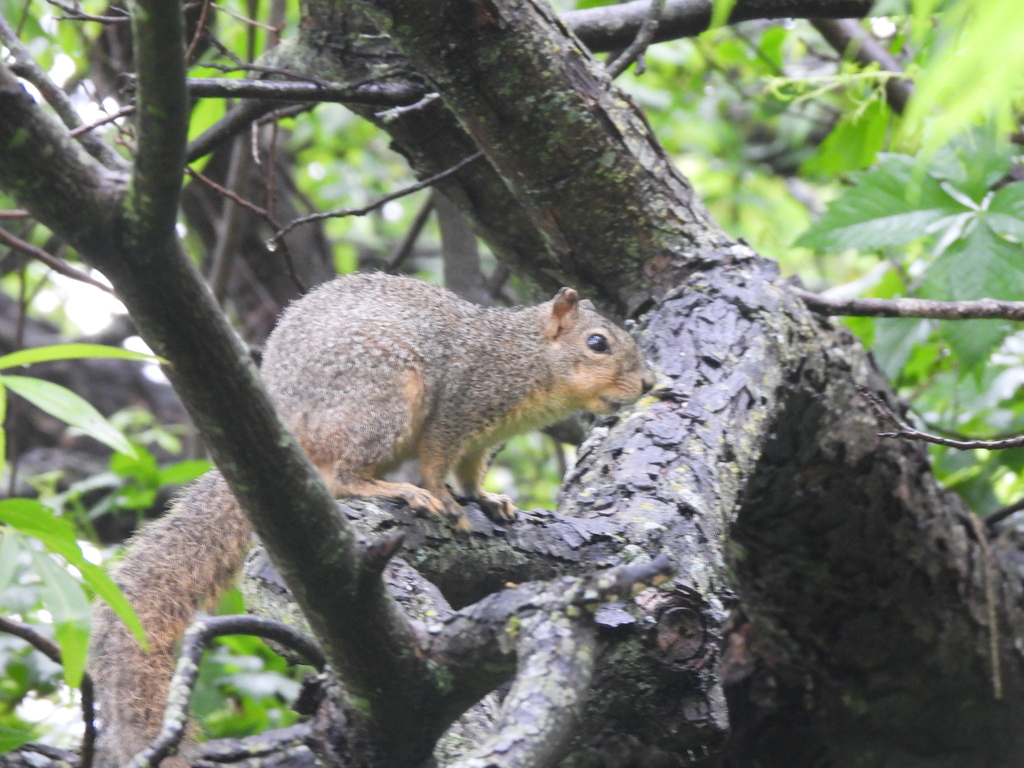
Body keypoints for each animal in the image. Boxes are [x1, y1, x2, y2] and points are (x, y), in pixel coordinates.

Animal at [88, 272, 654, 768]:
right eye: (598, 343)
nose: (649, 382)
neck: (526, 356)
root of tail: (285, 425)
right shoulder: (461, 404)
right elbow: (438, 461)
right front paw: (444, 500)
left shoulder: (482, 439)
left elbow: (470, 472)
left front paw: (489, 500)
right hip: (379, 396)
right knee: (342, 476)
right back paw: (398, 490)